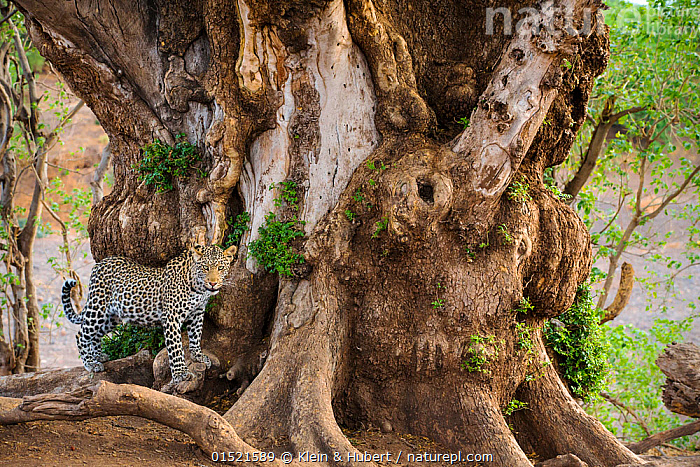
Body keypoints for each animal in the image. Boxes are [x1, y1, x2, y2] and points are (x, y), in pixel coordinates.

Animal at [62, 243, 237, 382]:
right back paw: (90, 363)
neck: (199, 289)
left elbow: (195, 337)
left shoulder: (197, 314)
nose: (213, 283)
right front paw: (180, 373)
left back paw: (98, 356)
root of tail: (100, 264)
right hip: (98, 307)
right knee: (81, 334)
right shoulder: (172, 317)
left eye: (221, 268)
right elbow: (176, 347)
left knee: (96, 334)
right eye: (205, 268)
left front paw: (197, 356)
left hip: (113, 316)